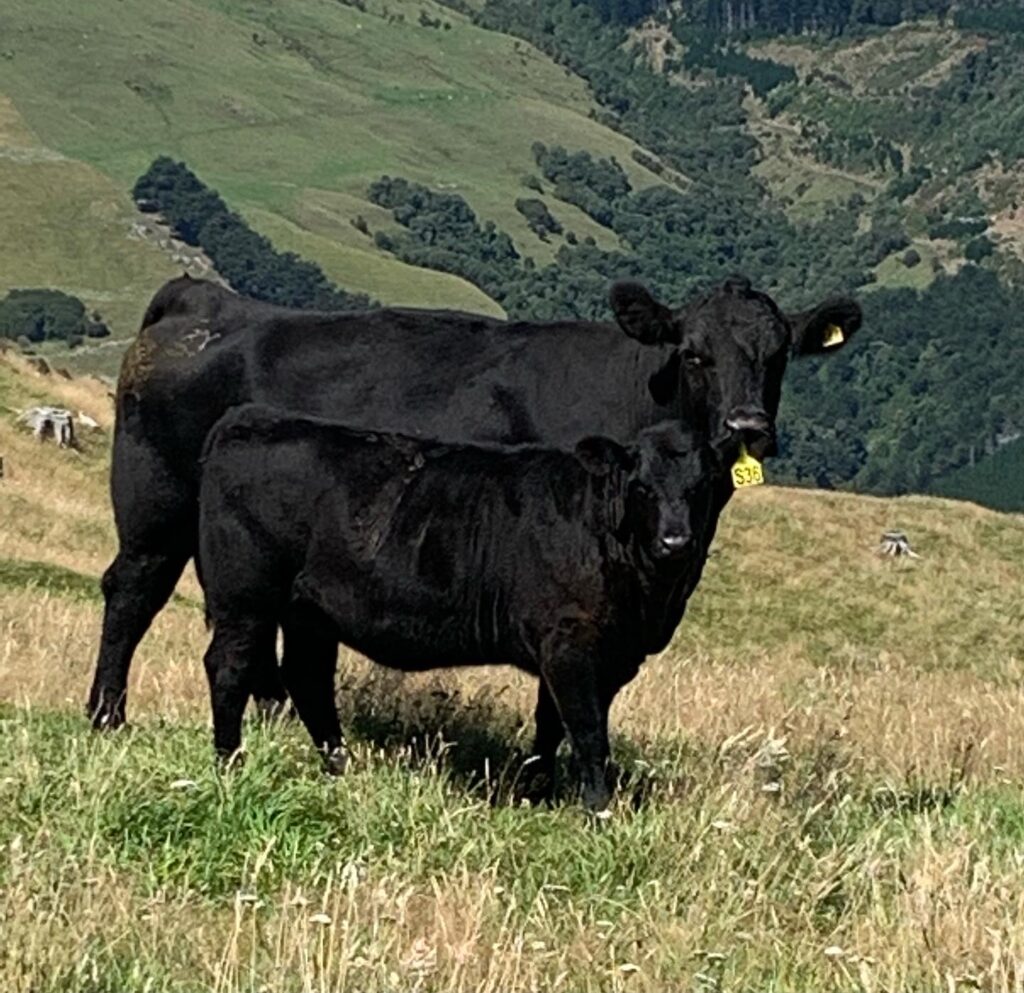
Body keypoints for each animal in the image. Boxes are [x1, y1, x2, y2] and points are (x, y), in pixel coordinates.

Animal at [88, 273, 862, 730]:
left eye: (778, 355)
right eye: (696, 353)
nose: (746, 425)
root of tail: (206, 300)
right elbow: (560, 699)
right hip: (155, 505)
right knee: (133, 591)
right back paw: (106, 714)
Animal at [199, 404, 723, 811]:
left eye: (700, 488)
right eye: (642, 488)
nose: (675, 542)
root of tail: (249, 417)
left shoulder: (606, 655)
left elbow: (551, 724)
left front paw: (535, 793)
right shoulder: (570, 642)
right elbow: (588, 730)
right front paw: (598, 810)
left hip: (309, 613)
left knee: (308, 678)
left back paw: (340, 766)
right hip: (244, 600)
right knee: (229, 668)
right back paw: (230, 762)